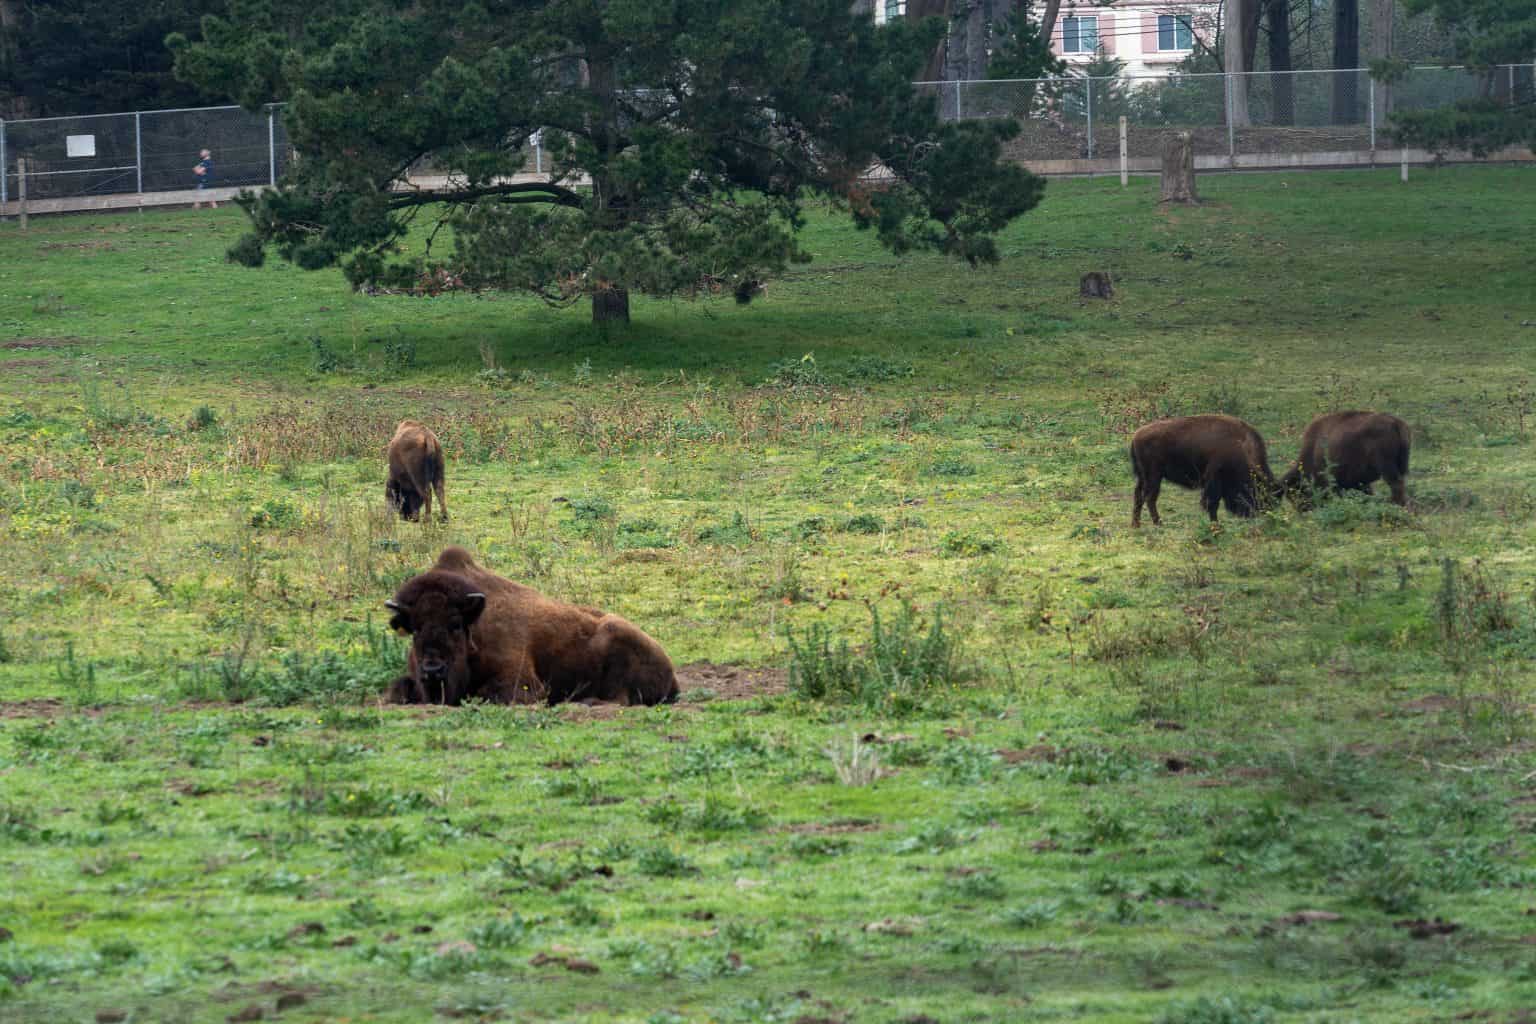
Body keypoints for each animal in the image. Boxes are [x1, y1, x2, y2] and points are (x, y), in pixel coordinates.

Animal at [384, 546, 680, 707]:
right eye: (415, 629)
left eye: (455, 624)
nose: (433, 670)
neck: (476, 626)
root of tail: (670, 669)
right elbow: (397, 688)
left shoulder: (523, 684)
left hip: (615, 636)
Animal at [1131, 414, 1276, 526]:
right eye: (1257, 490)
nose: (1255, 513)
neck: (1242, 445)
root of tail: (1136, 436)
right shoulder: (1214, 481)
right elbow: (1212, 504)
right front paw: (1216, 525)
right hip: (1154, 476)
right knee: (1149, 498)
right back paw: (1158, 523)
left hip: (1143, 477)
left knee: (1138, 496)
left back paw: (1136, 524)